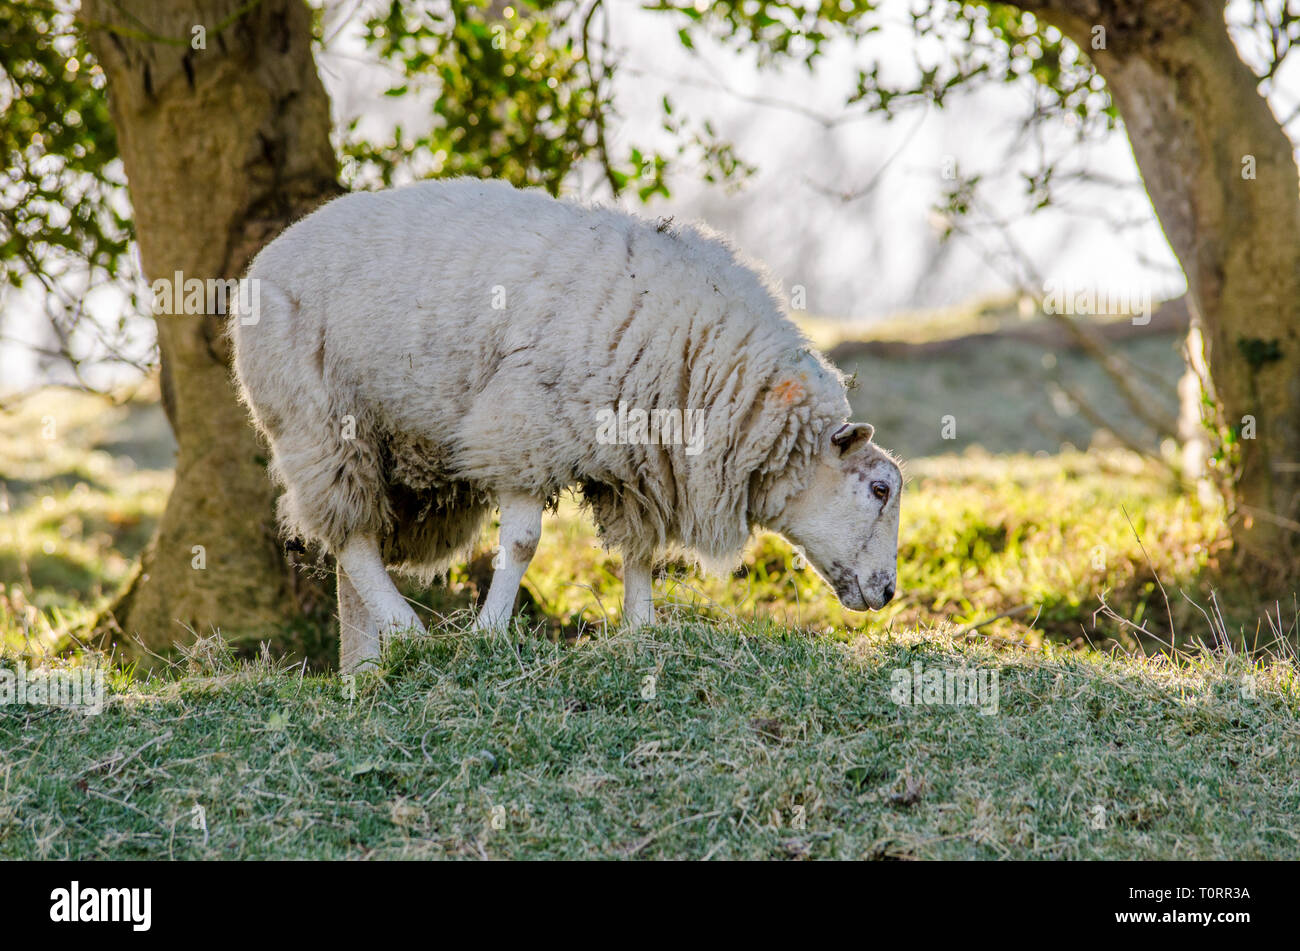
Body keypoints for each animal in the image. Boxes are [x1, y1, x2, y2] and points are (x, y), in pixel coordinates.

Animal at [228, 178, 902, 671]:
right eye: (879, 489)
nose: (890, 593)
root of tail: (266, 258)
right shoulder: (526, 431)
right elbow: (523, 544)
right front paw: (490, 632)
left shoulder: (639, 463)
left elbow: (641, 551)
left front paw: (641, 632)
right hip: (318, 423)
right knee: (350, 538)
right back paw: (406, 631)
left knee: (354, 542)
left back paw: (364, 668)